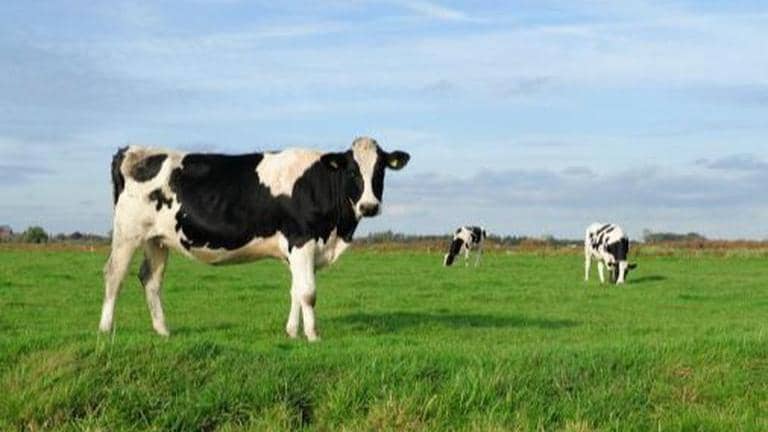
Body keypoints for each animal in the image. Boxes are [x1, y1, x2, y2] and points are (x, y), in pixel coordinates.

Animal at [98, 137, 410, 341]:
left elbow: (295, 290)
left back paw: (163, 331)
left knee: (150, 279)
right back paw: (105, 328)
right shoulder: (302, 240)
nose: (369, 206)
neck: (335, 232)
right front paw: (313, 336)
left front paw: (292, 332)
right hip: (127, 233)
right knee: (115, 274)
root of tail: (131, 150)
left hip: (157, 240)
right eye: (352, 171)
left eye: (380, 170)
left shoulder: (296, 250)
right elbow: (308, 293)